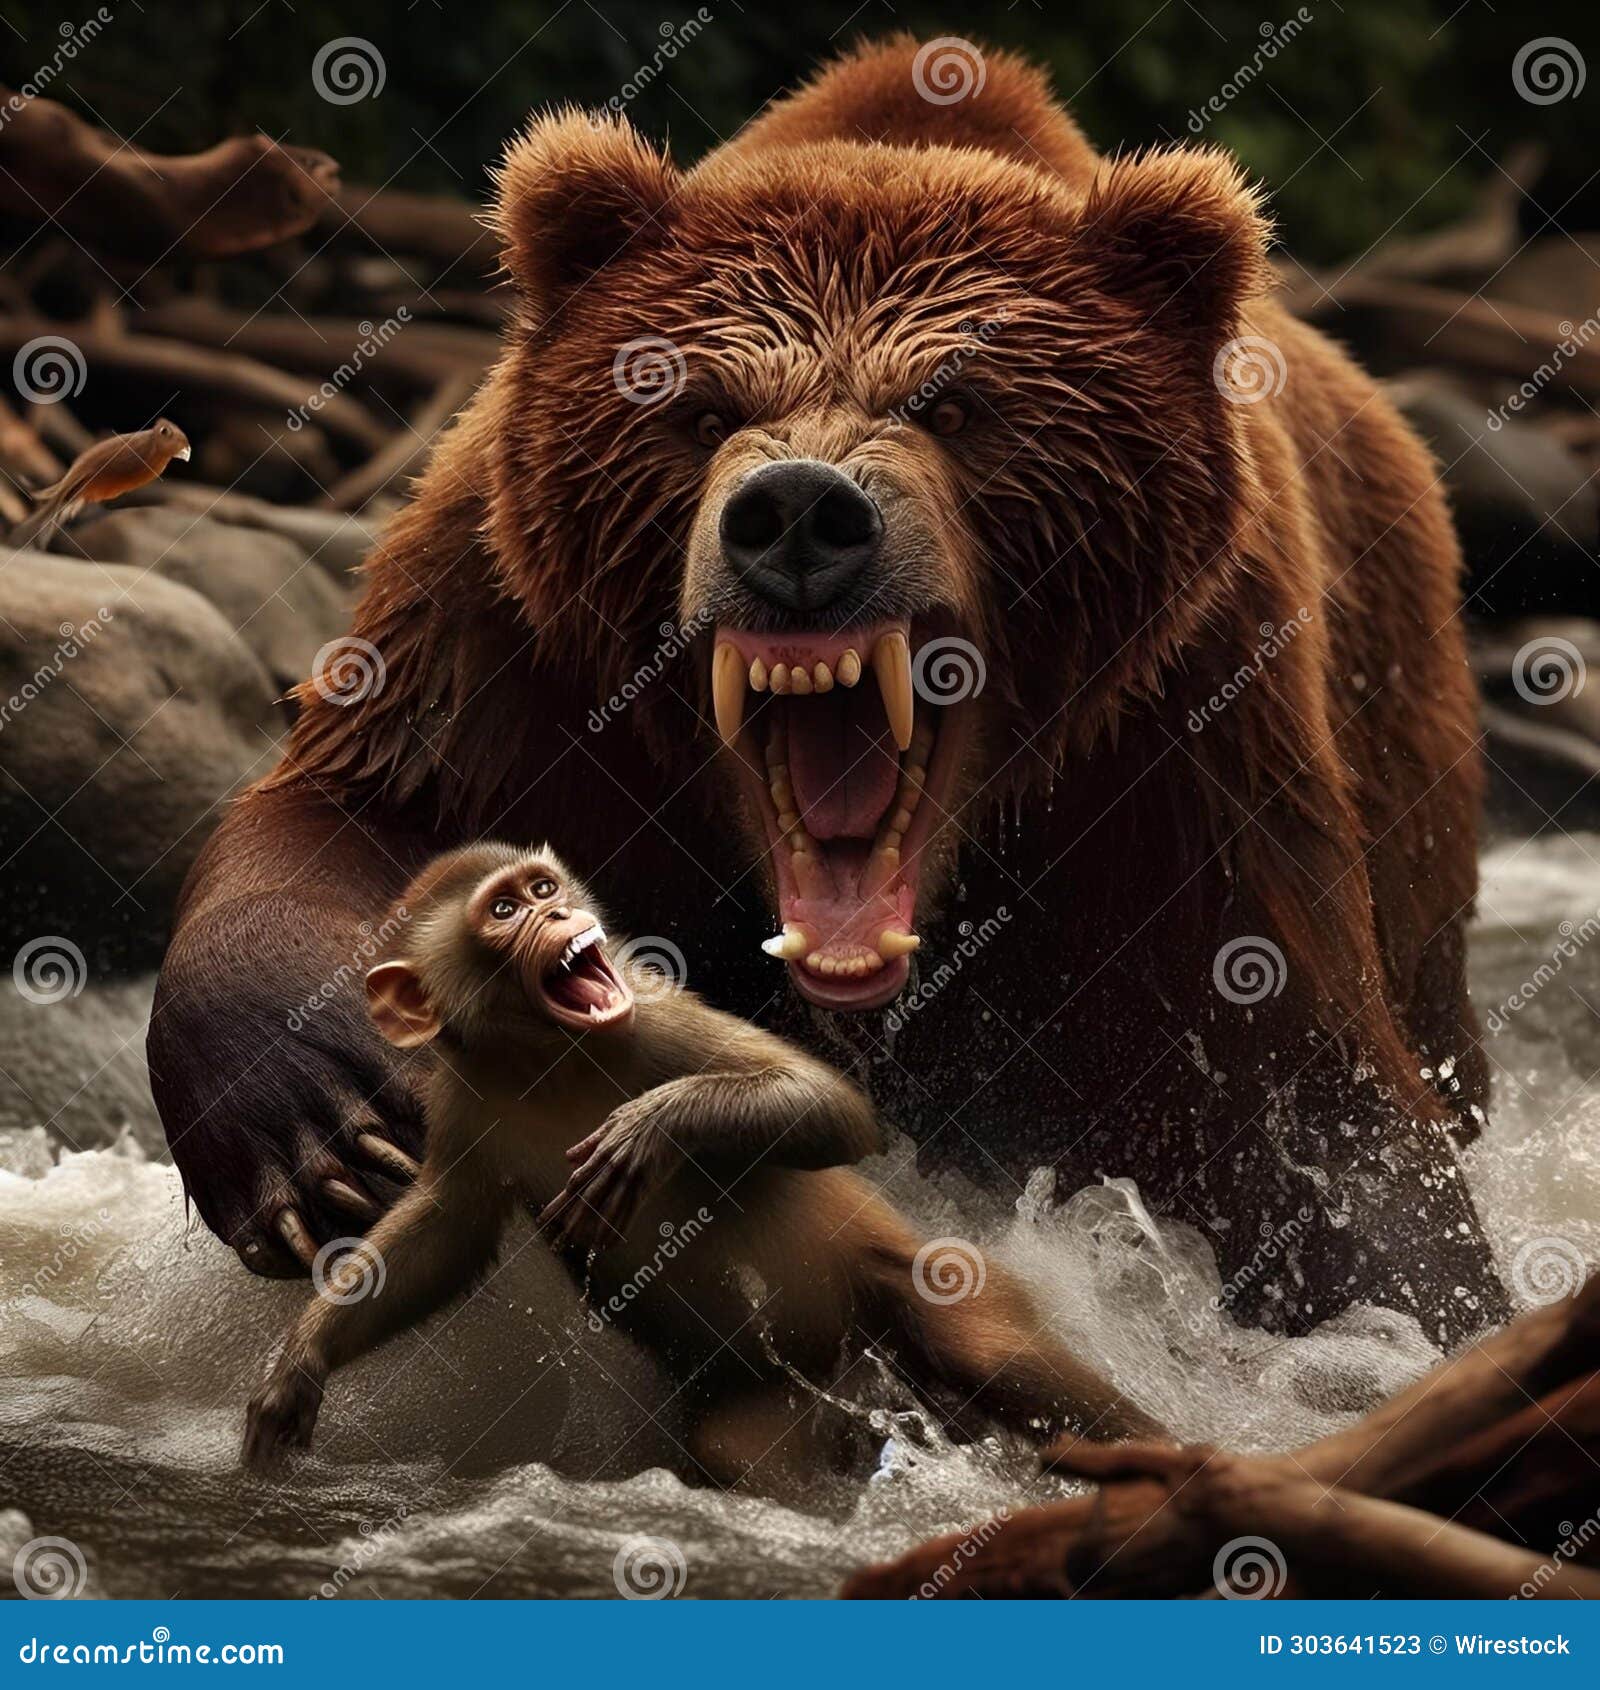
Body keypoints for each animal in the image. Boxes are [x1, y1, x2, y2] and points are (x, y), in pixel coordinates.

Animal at [149, 36, 1505, 1346]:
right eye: (700, 407)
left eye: (954, 403)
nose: (799, 510)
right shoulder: (516, 645)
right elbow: (358, 811)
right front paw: (322, 1132)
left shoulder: (1181, 739)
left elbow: (1302, 1112)